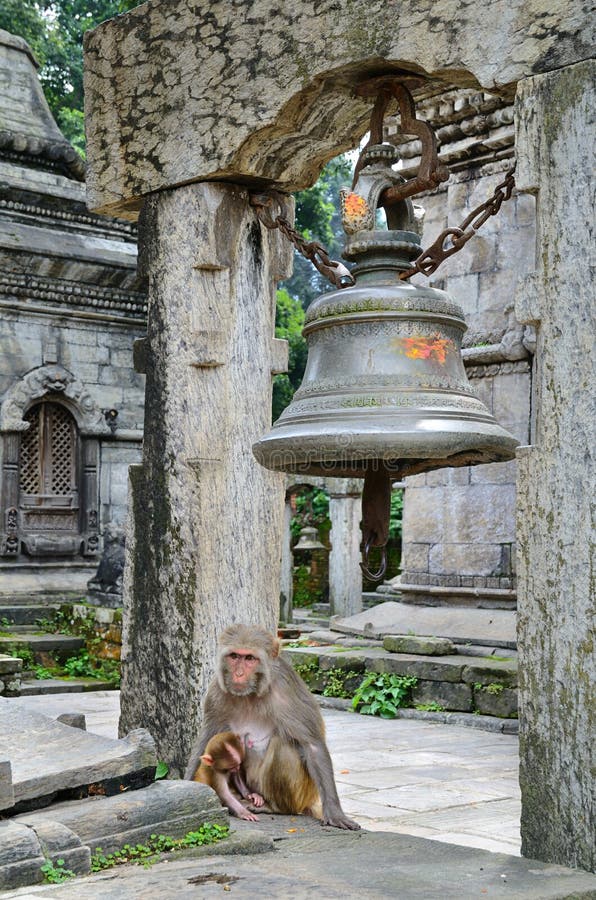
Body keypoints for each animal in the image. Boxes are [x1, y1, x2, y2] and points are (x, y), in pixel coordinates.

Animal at [184, 623, 360, 831]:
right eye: (234, 656)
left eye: (250, 658)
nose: (238, 674)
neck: (251, 694)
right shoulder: (217, 692)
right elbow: (207, 740)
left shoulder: (285, 689)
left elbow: (312, 745)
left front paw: (335, 813)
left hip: (299, 796)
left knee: (281, 745)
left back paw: (275, 807)